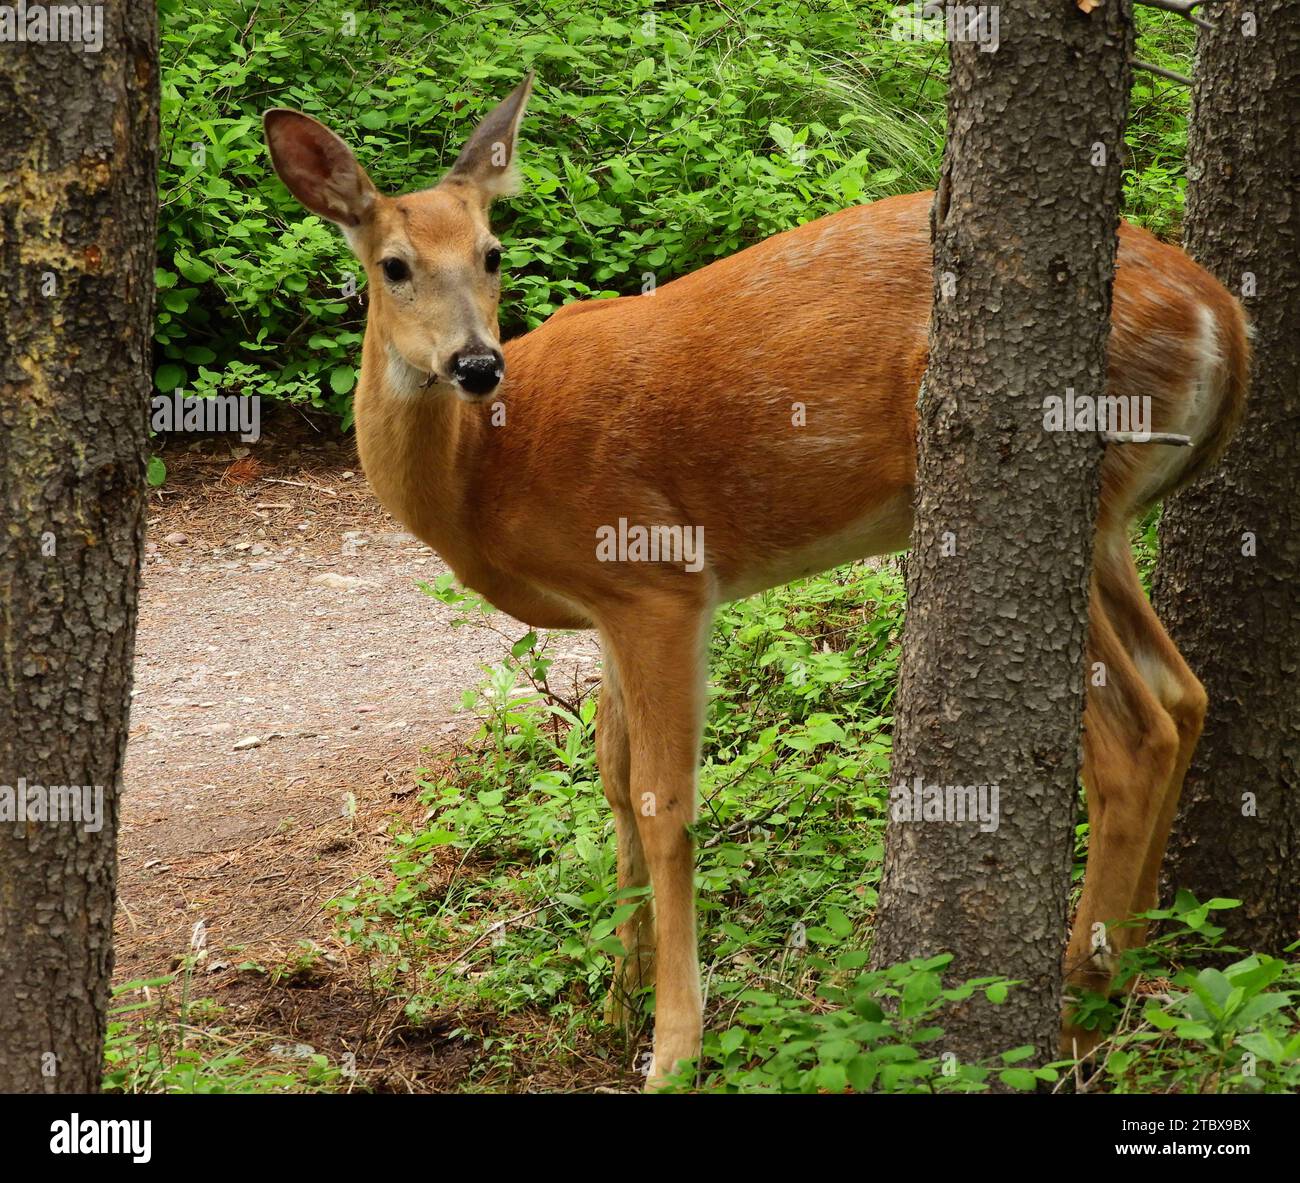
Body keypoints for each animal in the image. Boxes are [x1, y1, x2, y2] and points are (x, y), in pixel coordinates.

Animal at [263, 75, 1248, 1090]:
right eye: (393, 265)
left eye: (493, 255)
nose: (473, 362)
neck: (486, 471)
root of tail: (1227, 316)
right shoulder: (606, 607)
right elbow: (611, 774)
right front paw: (617, 999)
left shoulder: (657, 576)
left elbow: (664, 802)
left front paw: (672, 1044)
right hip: (1115, 520)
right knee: (1185, 694)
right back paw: (1131, 973)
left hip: (1063, 490)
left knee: (1135, 735)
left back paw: (1077, 1013)